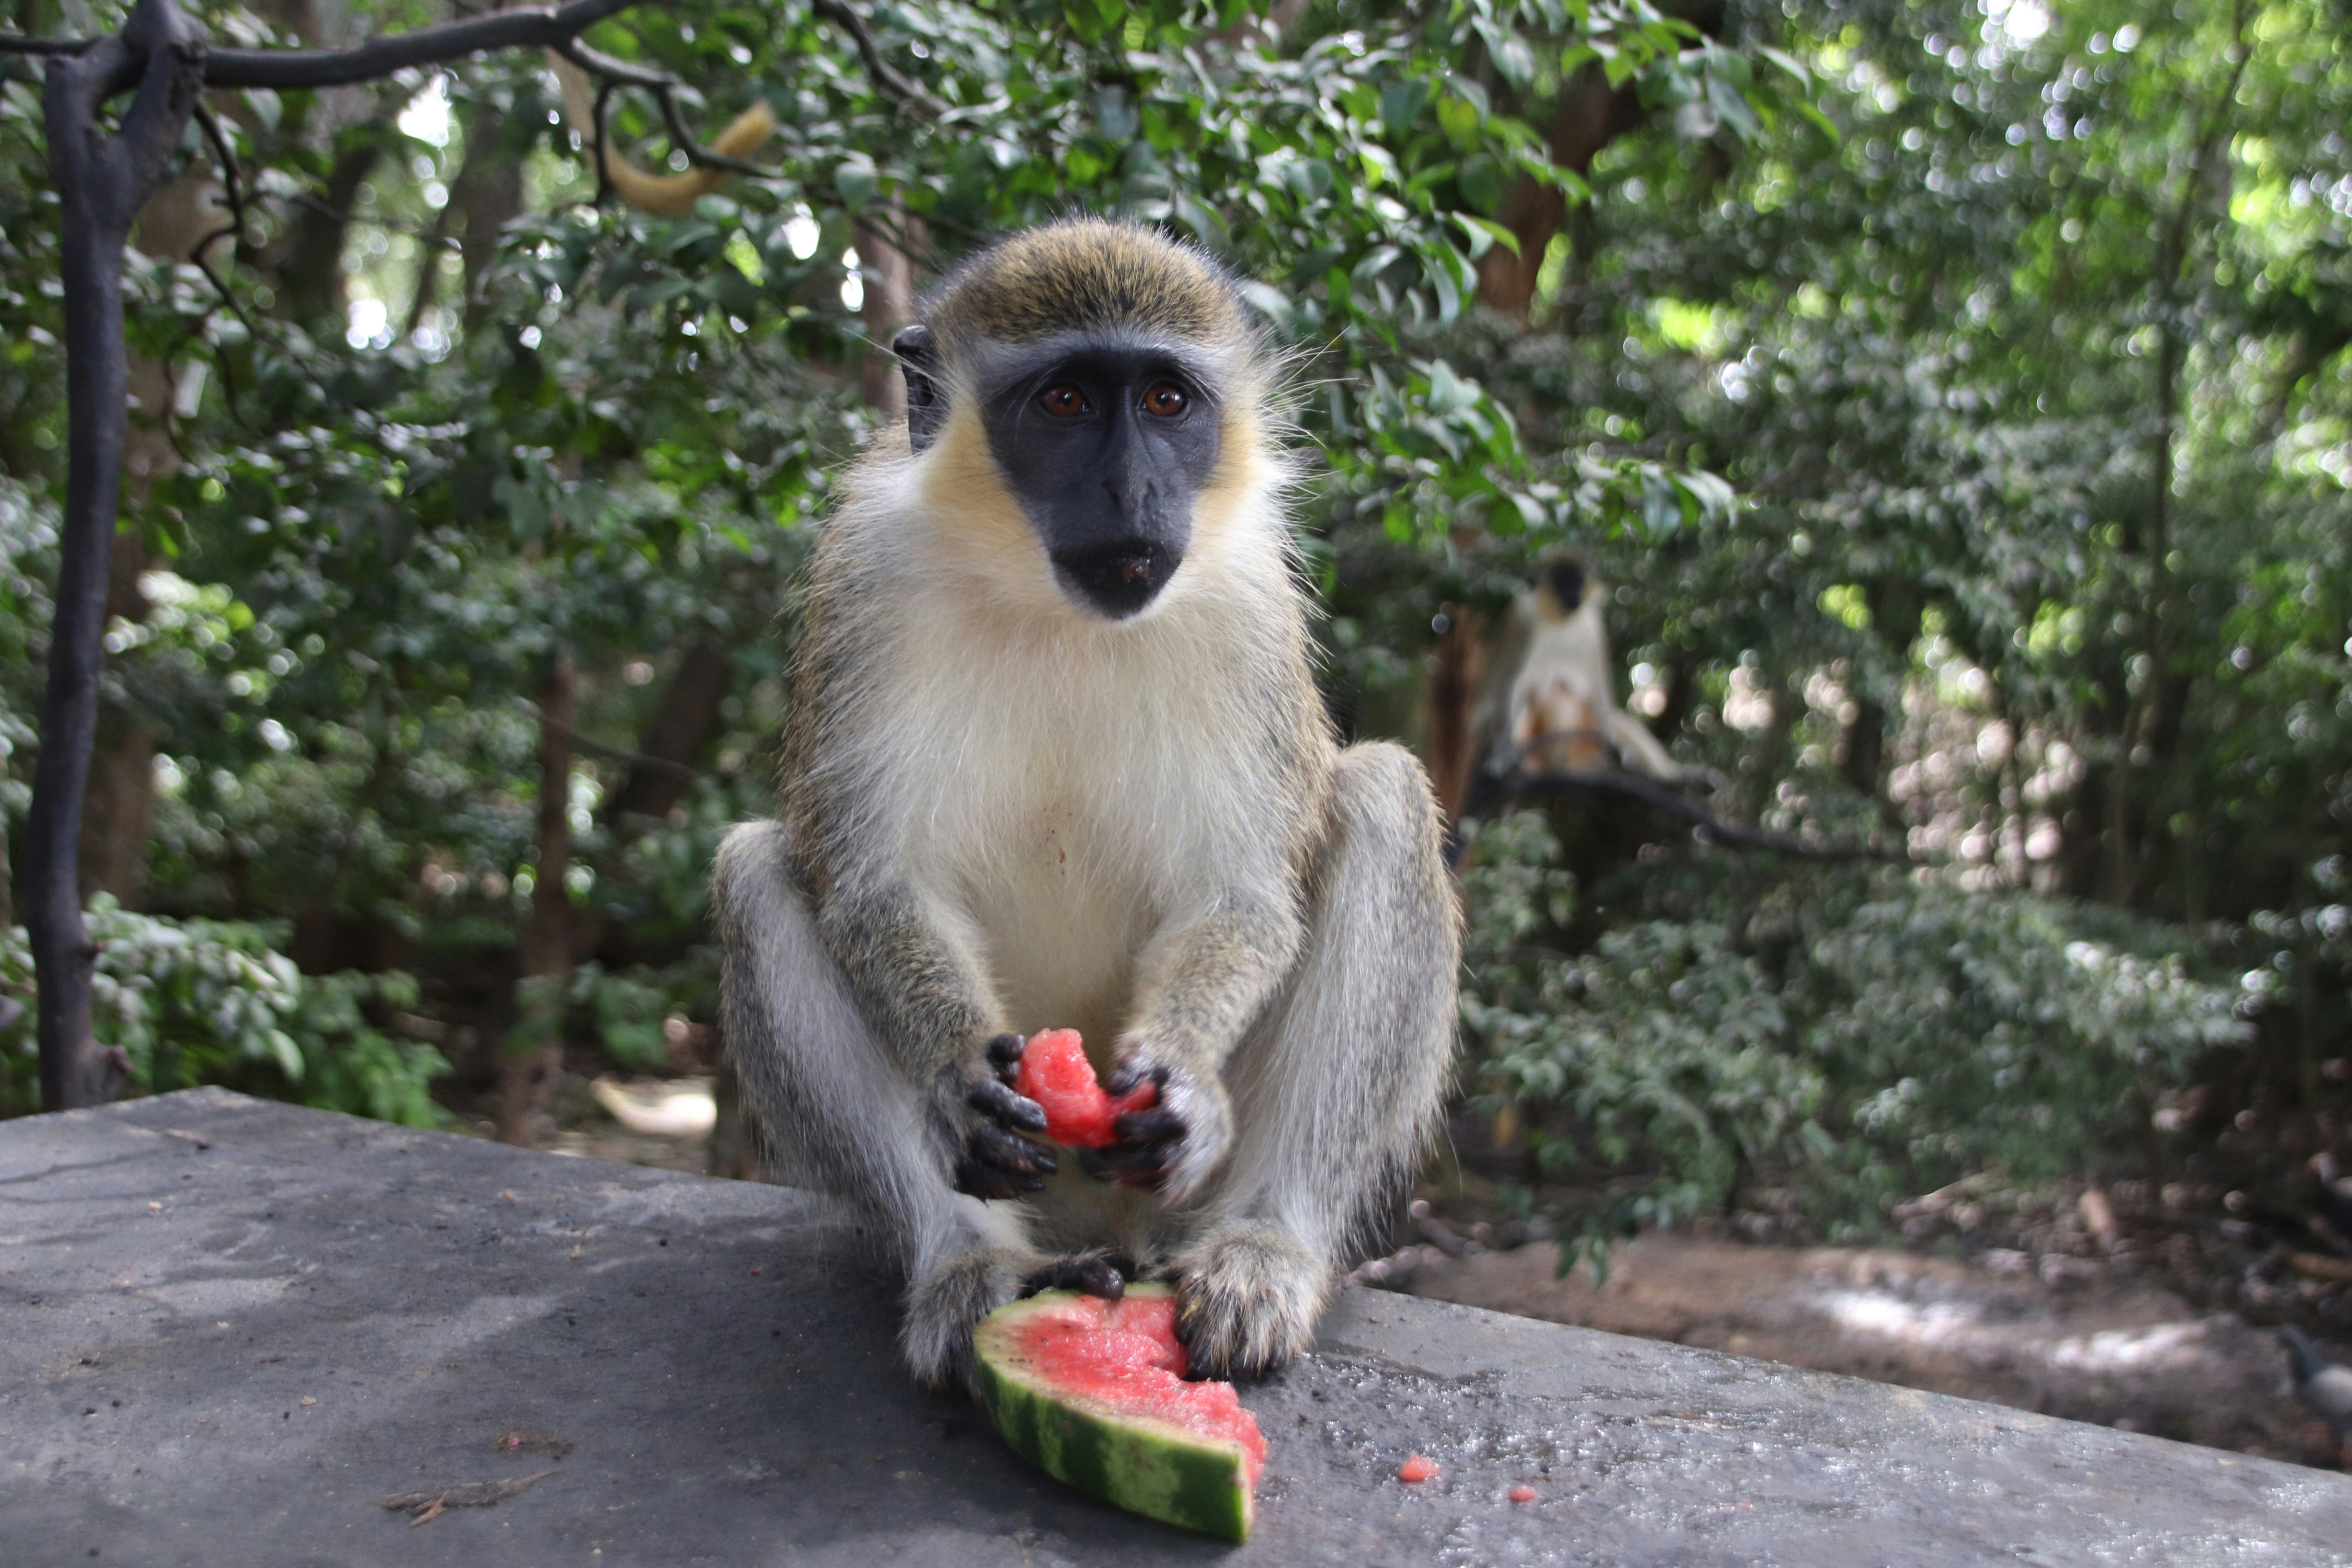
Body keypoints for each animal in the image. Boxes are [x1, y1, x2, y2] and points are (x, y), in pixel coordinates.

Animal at [711, 219, 1461, 1394]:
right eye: (1064, 401)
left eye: (1166, 401)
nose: (1131, 491)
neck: (1048, 599)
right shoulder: (868, 580)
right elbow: (877, 885)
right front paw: (956, 1072)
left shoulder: (1248, 601)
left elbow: (1242, 896)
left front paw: (1185, 1077)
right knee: (753, 870)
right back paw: (973, 1267)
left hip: (1169, 1200)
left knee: (1384, 796)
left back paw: (1263, 1251)